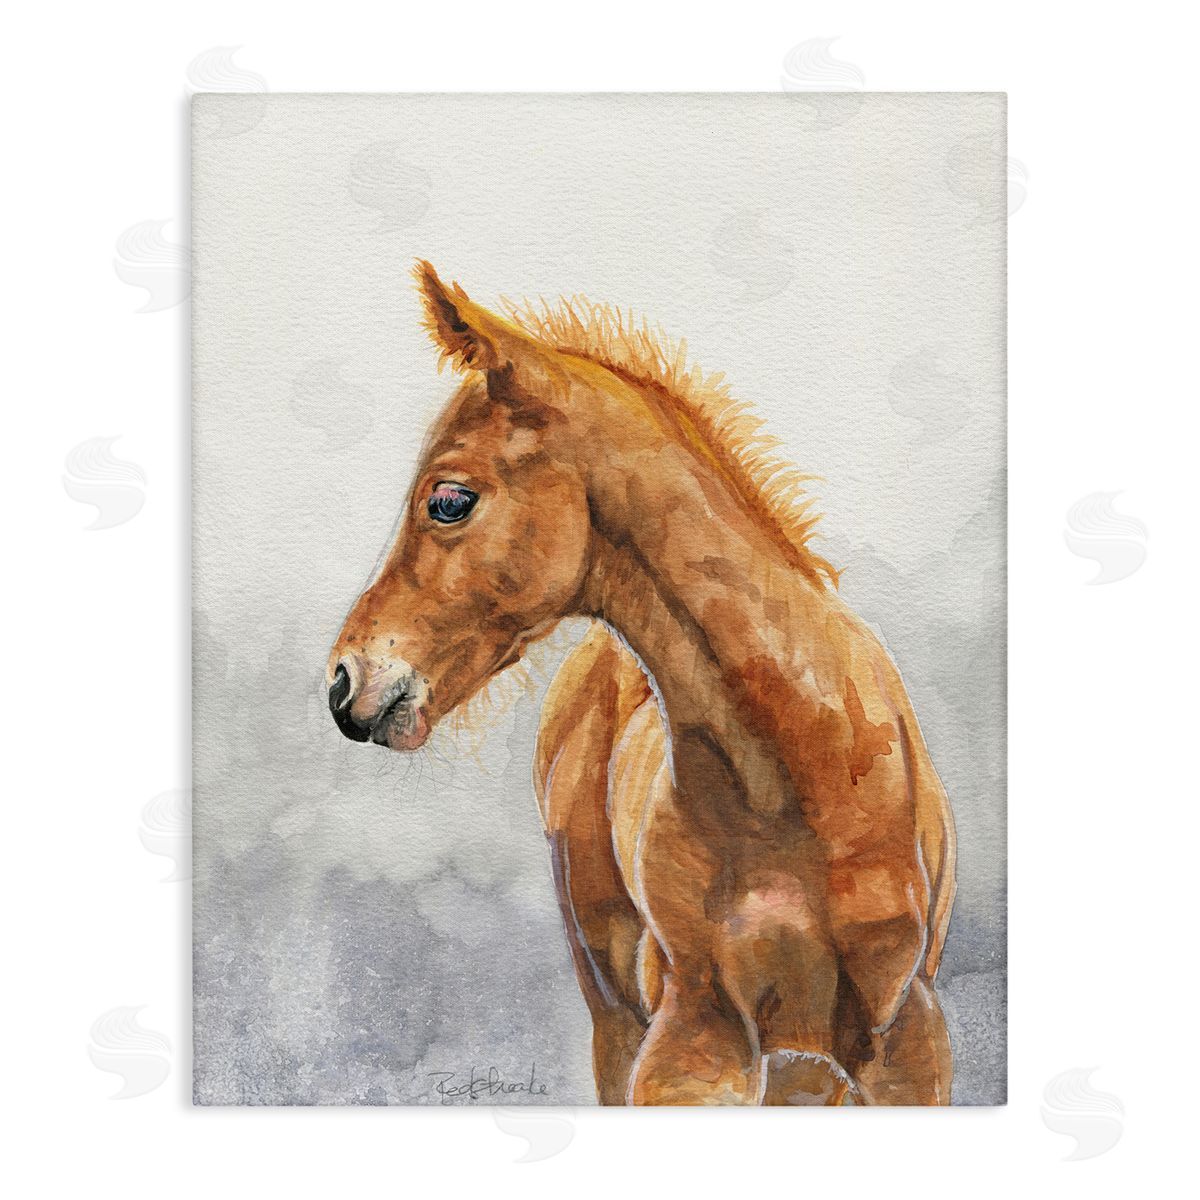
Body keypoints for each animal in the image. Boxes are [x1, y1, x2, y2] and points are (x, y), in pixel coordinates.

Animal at [326, 261, 957, 1105]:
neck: (800, 769)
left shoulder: (906, 1037)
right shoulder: (695, 1034)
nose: (344, 683)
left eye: (449, 499)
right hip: (617, 1003)